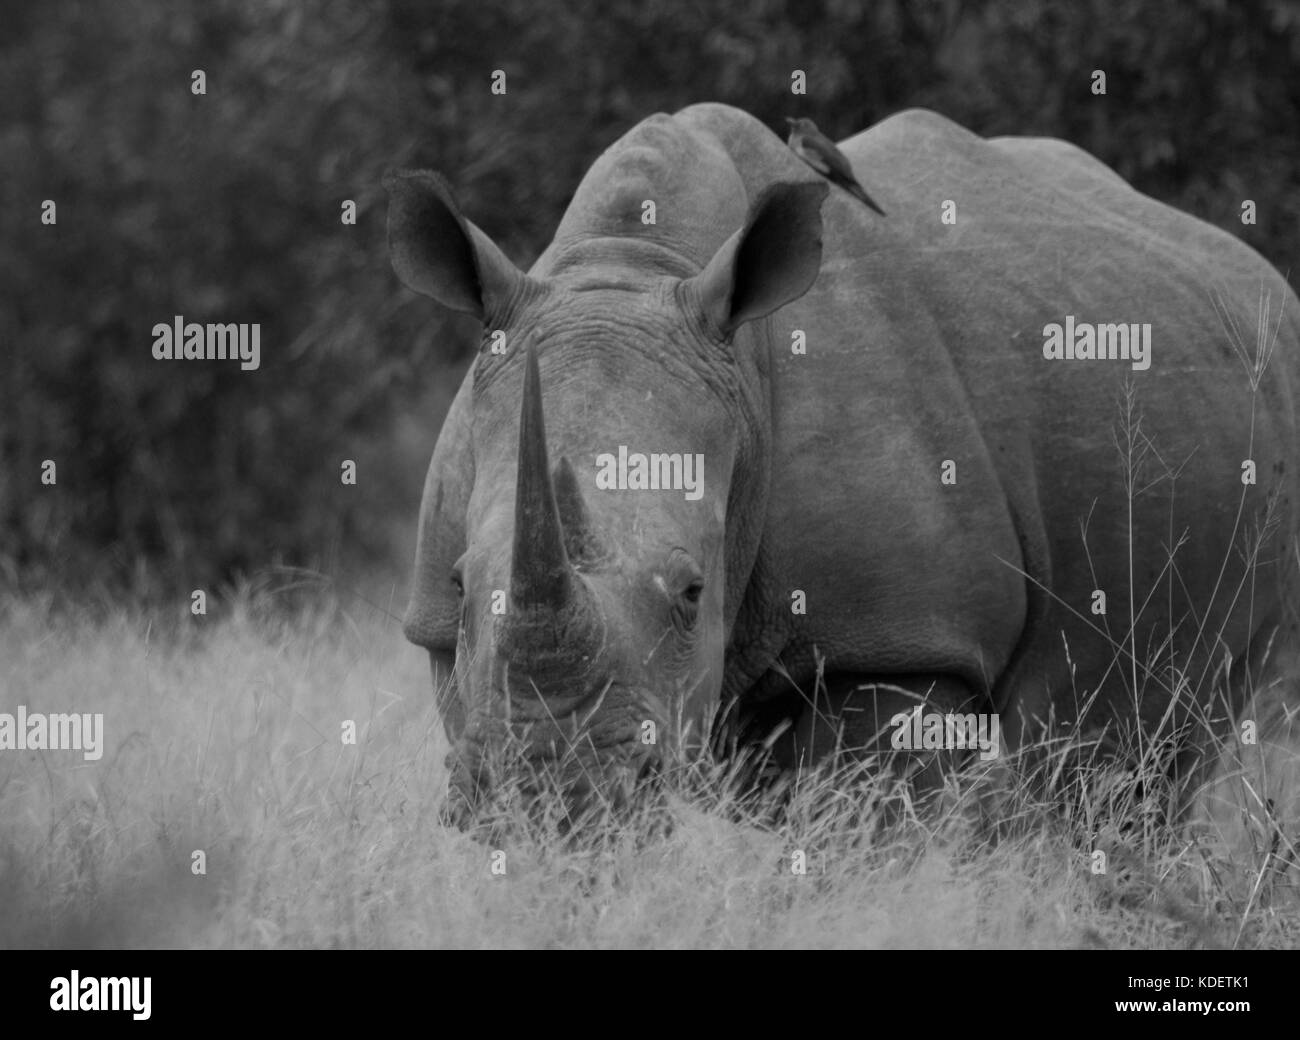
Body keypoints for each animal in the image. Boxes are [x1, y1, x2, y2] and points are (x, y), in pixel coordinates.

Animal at [386, 103, 1300, 817]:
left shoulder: (900, 640)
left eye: (693, 594)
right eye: (462, 584)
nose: (557, 796)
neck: (634, 267)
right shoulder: (450, 643)